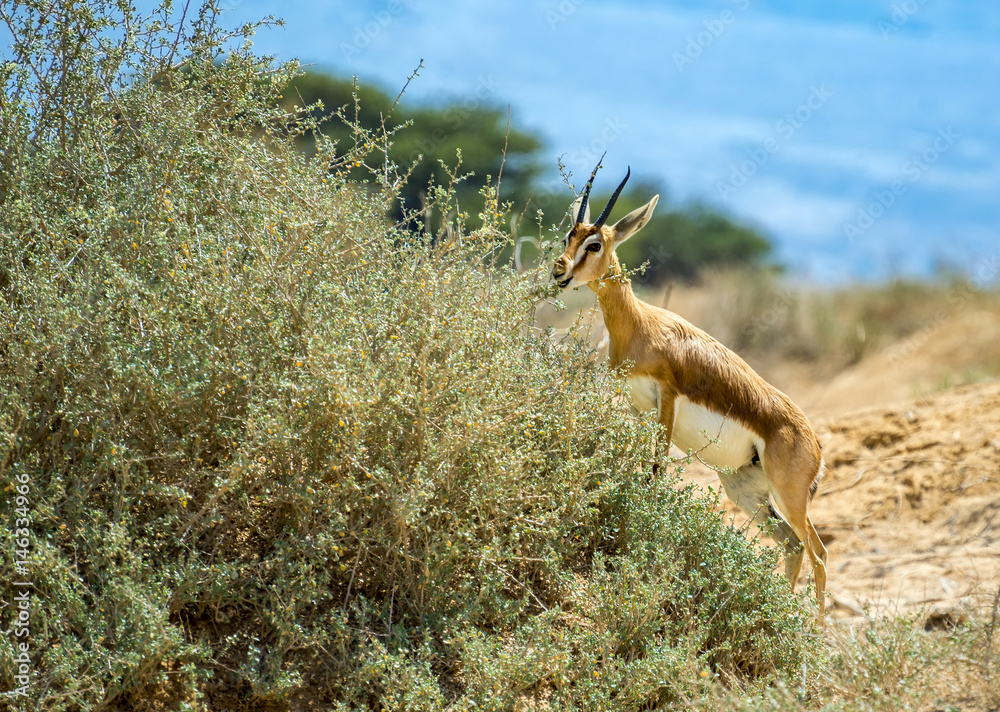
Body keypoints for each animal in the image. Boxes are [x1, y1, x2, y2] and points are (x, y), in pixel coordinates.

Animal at [552, 158, 829, 614]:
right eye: (567, 236)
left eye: (594, 245)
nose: (559, 271)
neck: (641, 326)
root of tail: (815, 443)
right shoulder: (637, 407)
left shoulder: (667, 399)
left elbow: (656, 471)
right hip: (744, 490)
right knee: (791, 546)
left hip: (789, 496)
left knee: (818, 553)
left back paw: (812, 631)